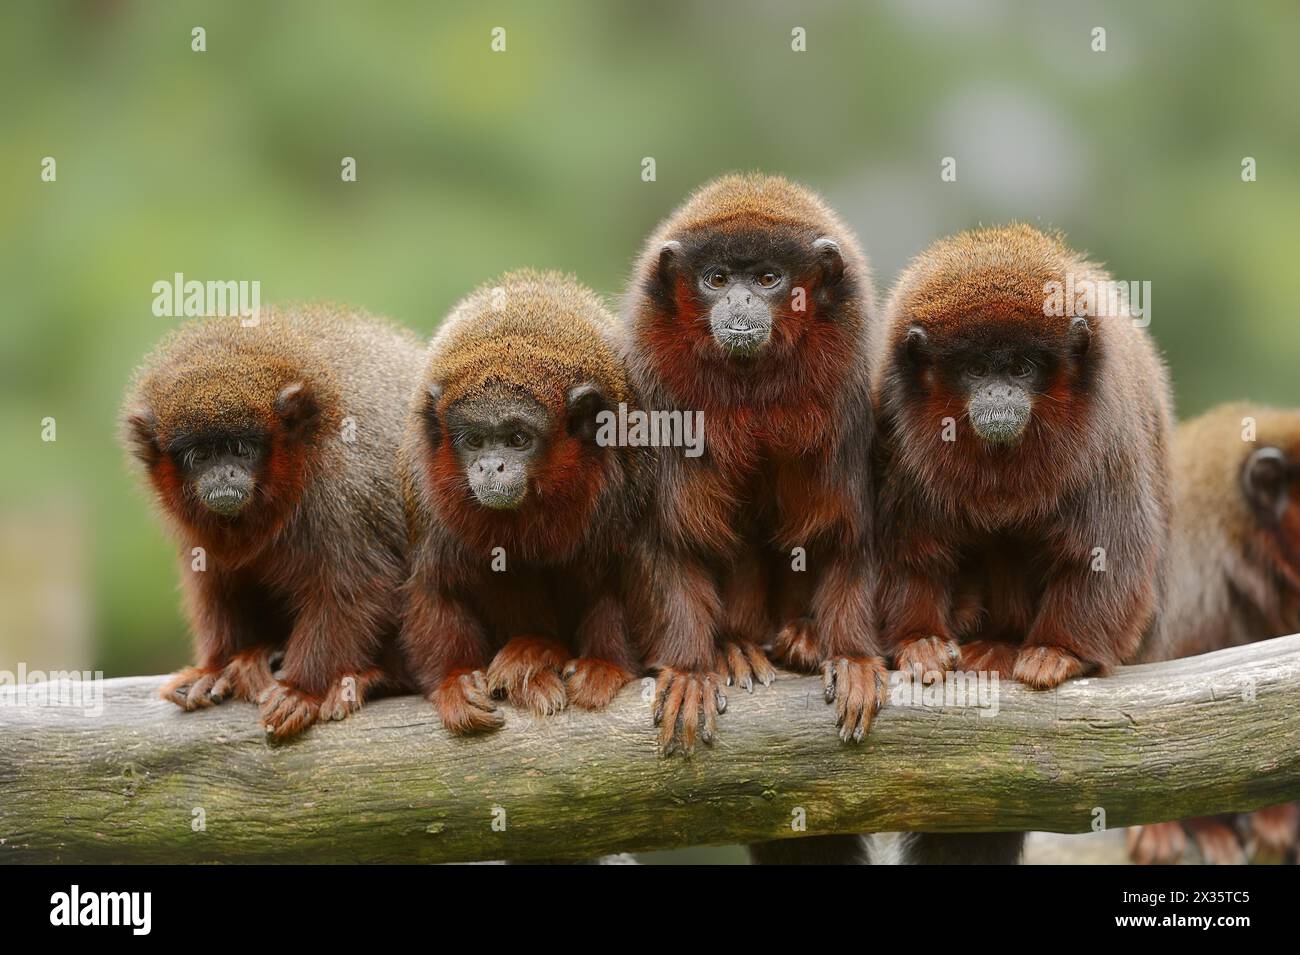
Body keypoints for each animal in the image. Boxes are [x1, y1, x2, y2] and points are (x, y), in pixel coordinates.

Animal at [122, 304, 424, 737]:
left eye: (240, 449)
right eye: (201, 456)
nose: (223, 475)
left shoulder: (343, 486)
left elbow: (354, 586)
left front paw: (303, 689)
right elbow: (215, 580)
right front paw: (214, 668)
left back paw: (372, 678)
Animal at [399, 270, 648, 734]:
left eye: (517, 439)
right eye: (475, 441)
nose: (490, 466)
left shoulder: (630, 475)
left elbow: (622, 577)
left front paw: (605, 666)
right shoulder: (424, 494)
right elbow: (437, 586)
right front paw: (454, 681)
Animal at [621, 173, 885, 765]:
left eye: (768, 279)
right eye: (717, 279)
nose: (739, 299)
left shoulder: (845, 392)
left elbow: (849, 528)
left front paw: (853, 656)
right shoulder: (660, 391)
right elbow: (670, 537)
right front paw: (690, 669)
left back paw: (803, 637)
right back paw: (733, 646)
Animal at [874, 224, 1174, 864]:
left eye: (1018, 368)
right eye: (976, 369)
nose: (998, 396)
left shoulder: (1106, 429)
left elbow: (1108, 551)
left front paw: (1059, 651)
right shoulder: (892, 423)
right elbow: (908, 550)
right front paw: (919, 641)